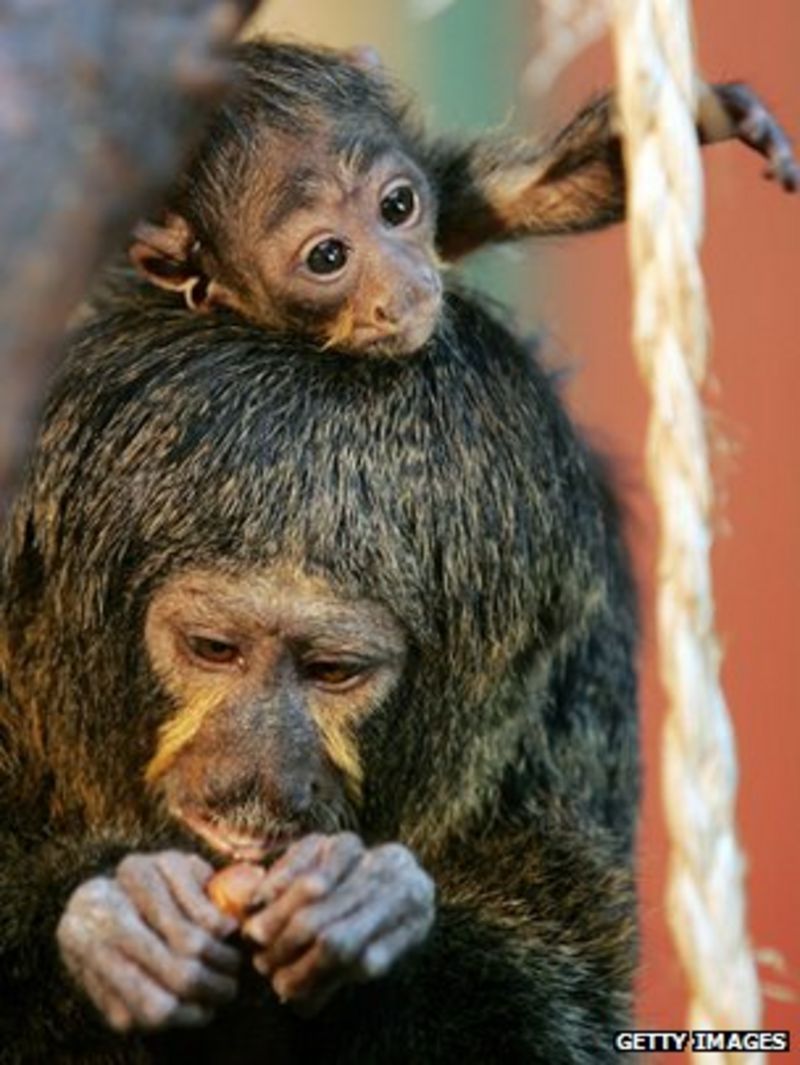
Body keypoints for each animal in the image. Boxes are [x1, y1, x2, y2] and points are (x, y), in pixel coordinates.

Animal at [0, 265, 639, 1062]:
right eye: (214, 649)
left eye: (331, 670)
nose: (257, 776)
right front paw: (114, 917)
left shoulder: (581, 678)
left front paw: (371, 916)